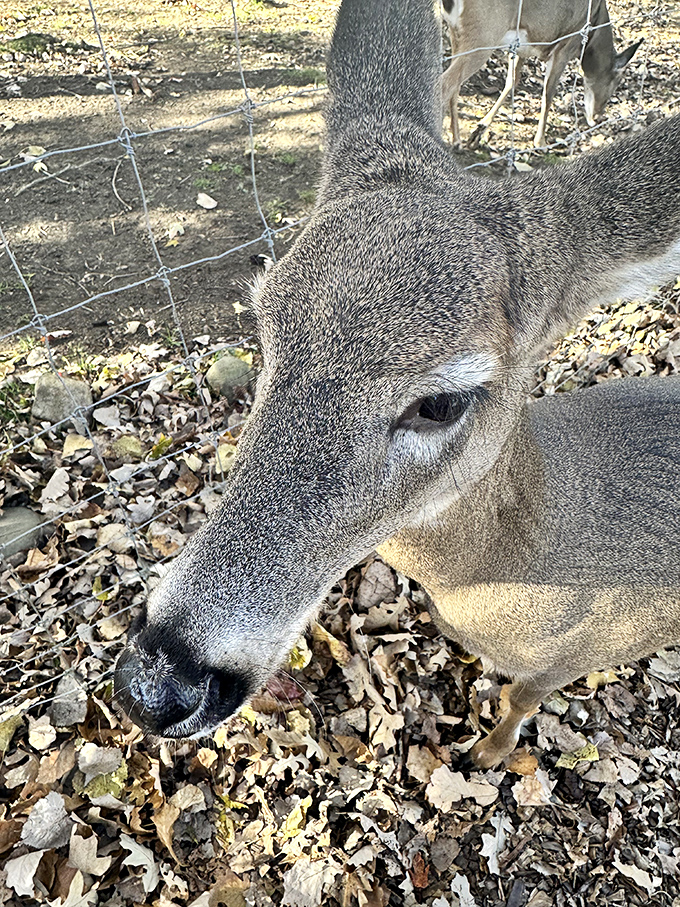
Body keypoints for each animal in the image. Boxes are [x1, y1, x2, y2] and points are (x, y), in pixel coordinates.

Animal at [441, 0, 642, 148]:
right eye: (616, 81)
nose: (598, 117)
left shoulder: (520, 47)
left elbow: (512, 81)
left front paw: (479, 129)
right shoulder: (565, 46)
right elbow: (548, 92)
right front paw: (540, 142)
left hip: (457, 31)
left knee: (454, 83)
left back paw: (457, 140)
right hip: (485, 34)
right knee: (446, 82)